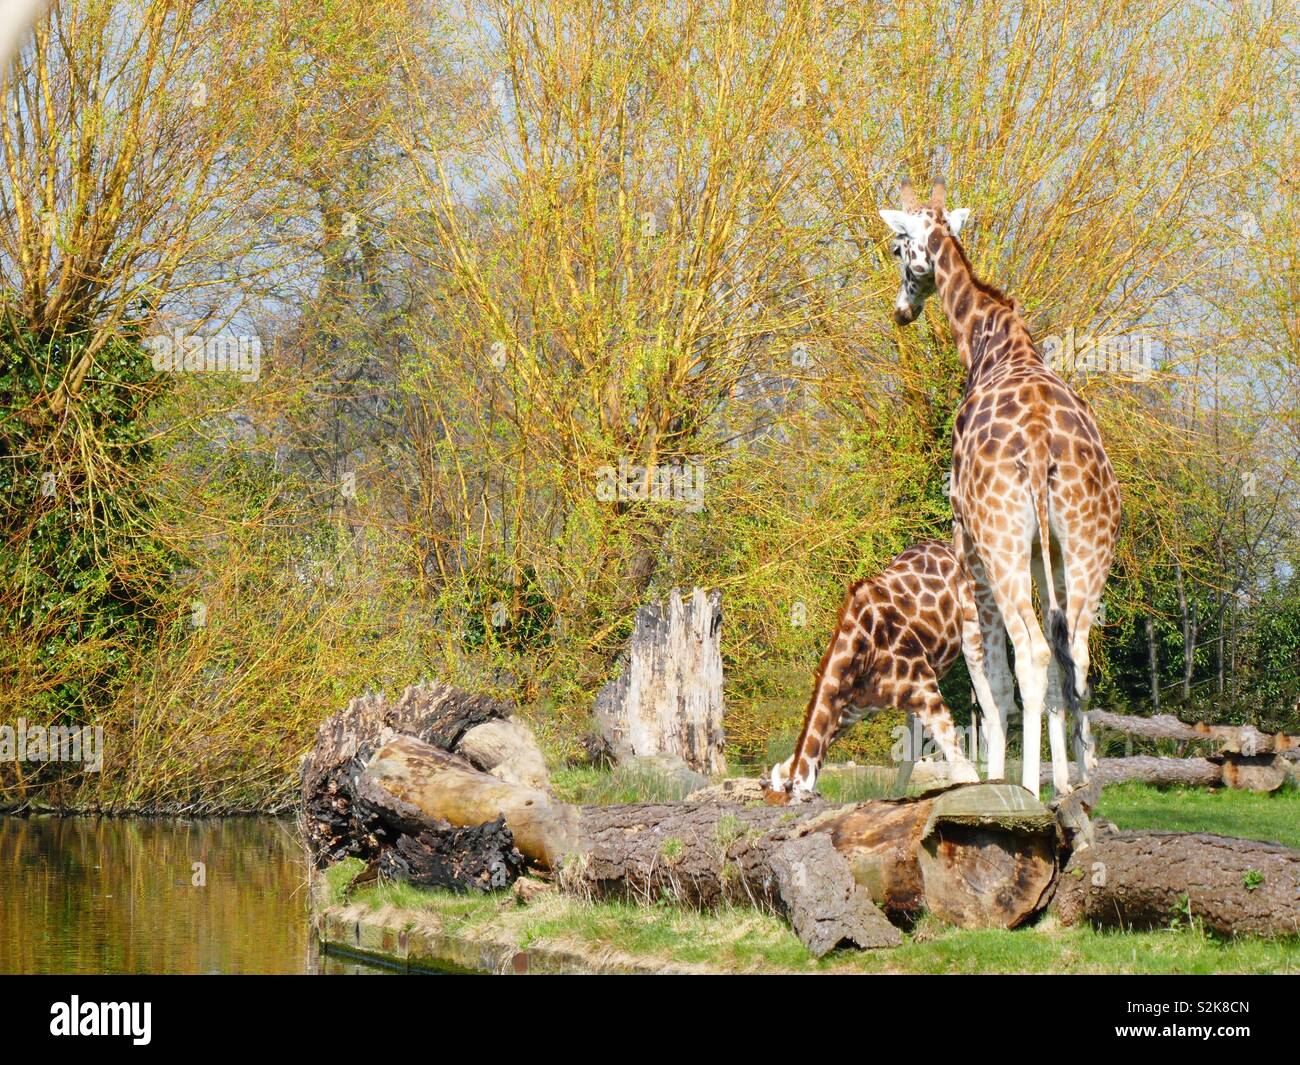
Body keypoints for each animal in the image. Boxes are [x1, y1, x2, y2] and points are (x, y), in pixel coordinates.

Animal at [764, 540, 999, 804]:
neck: (861, 649)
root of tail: (945, 545)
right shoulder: (856, 706)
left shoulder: (923, 684)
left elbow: (964, 772)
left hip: (973, 632)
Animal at [879, 179, 1121, 800]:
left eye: (897, 247)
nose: (902, 311)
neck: (991, 343)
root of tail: (1037, 445)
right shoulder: (1044, 552)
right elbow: (1058, 668)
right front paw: (1063, 784)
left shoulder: (967, 541)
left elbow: (990, 684)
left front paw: (996, 782)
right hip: (1087, 546)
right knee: (1074, 652)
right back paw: (1083, 789)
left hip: (999, 542)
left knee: (1029, 652)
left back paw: (1027, 790)